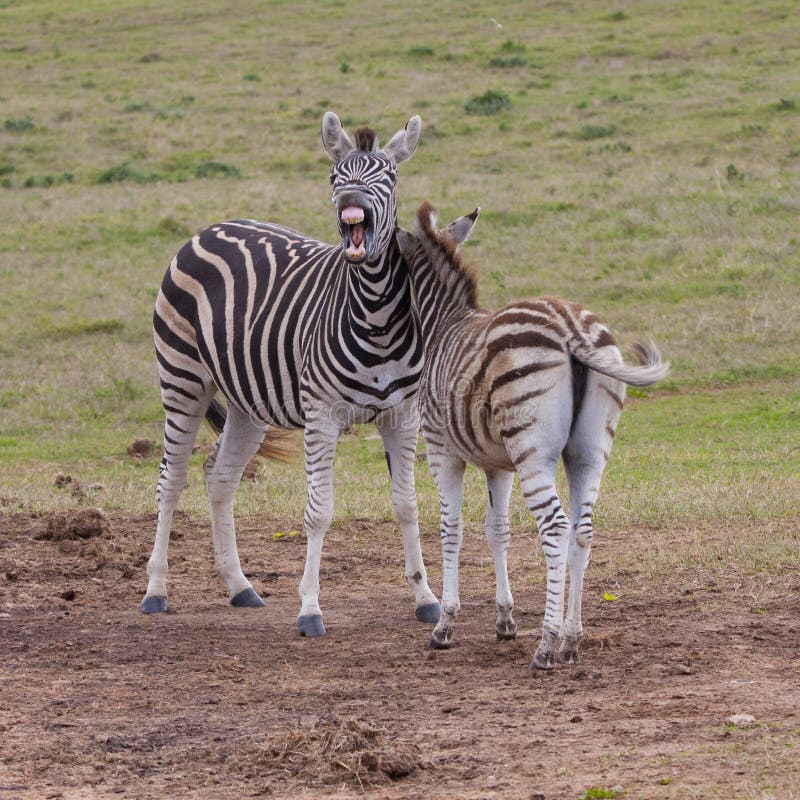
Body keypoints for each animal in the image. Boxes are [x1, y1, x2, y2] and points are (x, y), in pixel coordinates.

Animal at [142, 113, 442, 636]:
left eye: (388, 176)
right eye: (335, 177)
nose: (350, 202)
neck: (378, 319)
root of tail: (211, 228)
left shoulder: (403, 415)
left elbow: (407, 504)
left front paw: (425, 598)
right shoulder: (321, 414)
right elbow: (319, 513)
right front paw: (310, 609)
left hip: (247, 400)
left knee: (220, 475)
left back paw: (239, 586)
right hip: (182, 378)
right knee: (172, 479)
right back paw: (156, 591)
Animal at [396, 201, 669, 669]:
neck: (445, 322)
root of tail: (571, 329)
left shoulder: (441, 448)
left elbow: (452, 529)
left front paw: (445, 626)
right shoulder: (497, 463)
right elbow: (497, 529)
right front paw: (505, 621)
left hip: (532, 450)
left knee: (556, 528)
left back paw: (546, 645)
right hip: (587, 451)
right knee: (583, 529)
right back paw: (571, 640)